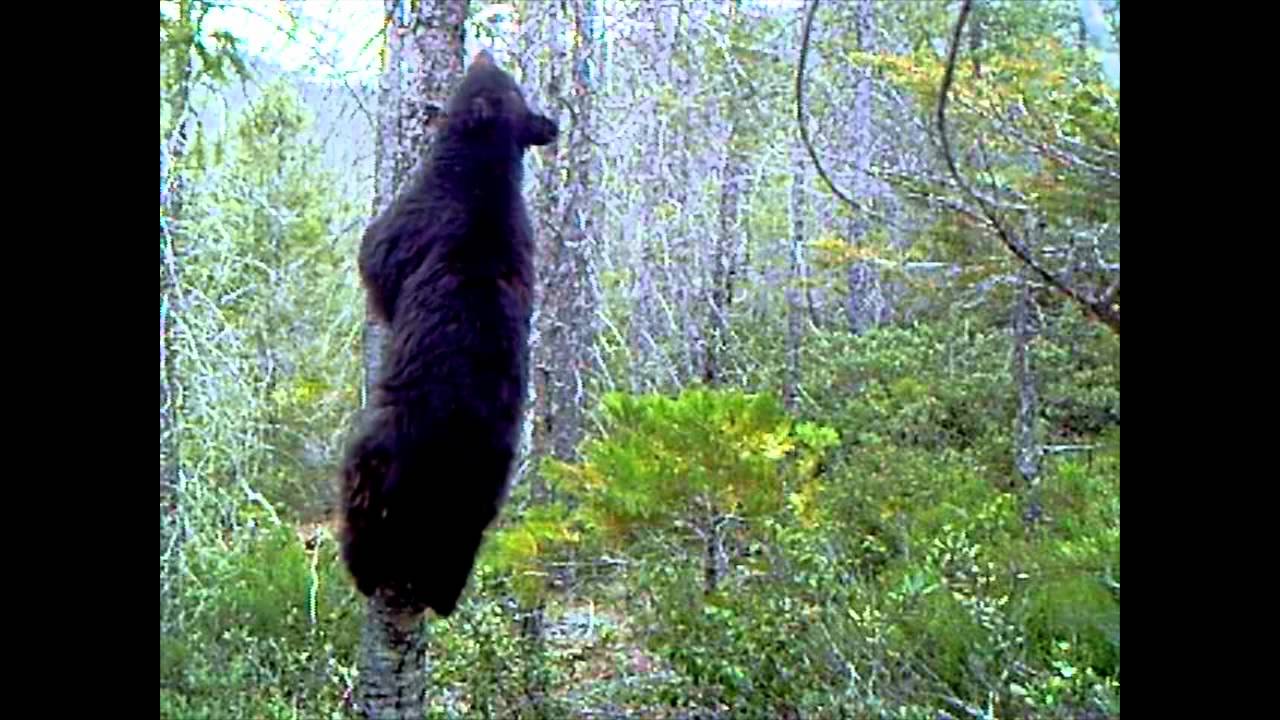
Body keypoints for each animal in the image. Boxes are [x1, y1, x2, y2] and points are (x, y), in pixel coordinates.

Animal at [340, 50, 558, 619]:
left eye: (491, 76)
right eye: (512, 79)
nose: (484, 52)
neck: (485, 174)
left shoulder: (418, 218)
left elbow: (377, 261)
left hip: (376, 460)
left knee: (360, 512)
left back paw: (362, 573)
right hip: (481, 502)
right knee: (457, 554)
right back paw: (440, 598)